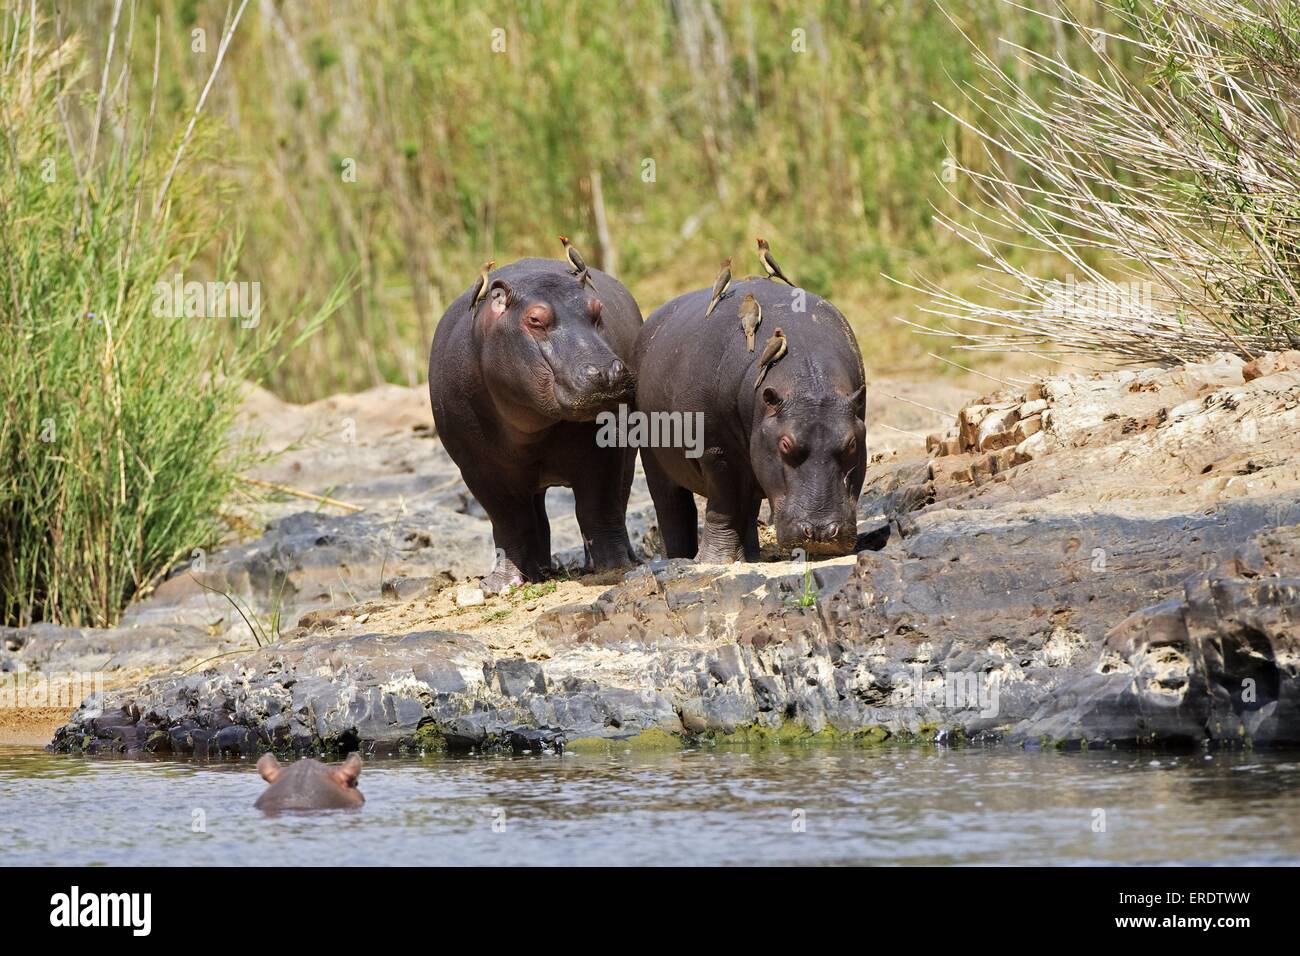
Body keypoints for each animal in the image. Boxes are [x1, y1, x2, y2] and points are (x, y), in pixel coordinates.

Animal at [429, 257, 642, 592]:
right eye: (535, 319)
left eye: (597, 309)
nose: (607, 372)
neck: (528, 427)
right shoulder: (478, 469)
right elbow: (508, 521)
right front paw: (500, 585)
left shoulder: (603, 452)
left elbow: (597, 505)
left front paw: (613, 566)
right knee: (533, 517)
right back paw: (539, 571)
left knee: (616, 498)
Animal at [633, 279, 866, 562]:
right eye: (785, 444)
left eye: (852, 444)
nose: (821, 531)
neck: (810, 386)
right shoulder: (717, 452)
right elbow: (724, 507)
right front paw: (713, 561)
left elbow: (741, 508)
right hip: (655, 460)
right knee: (673, 506)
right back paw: (681, 557)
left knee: (748, 507)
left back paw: (750, 556)